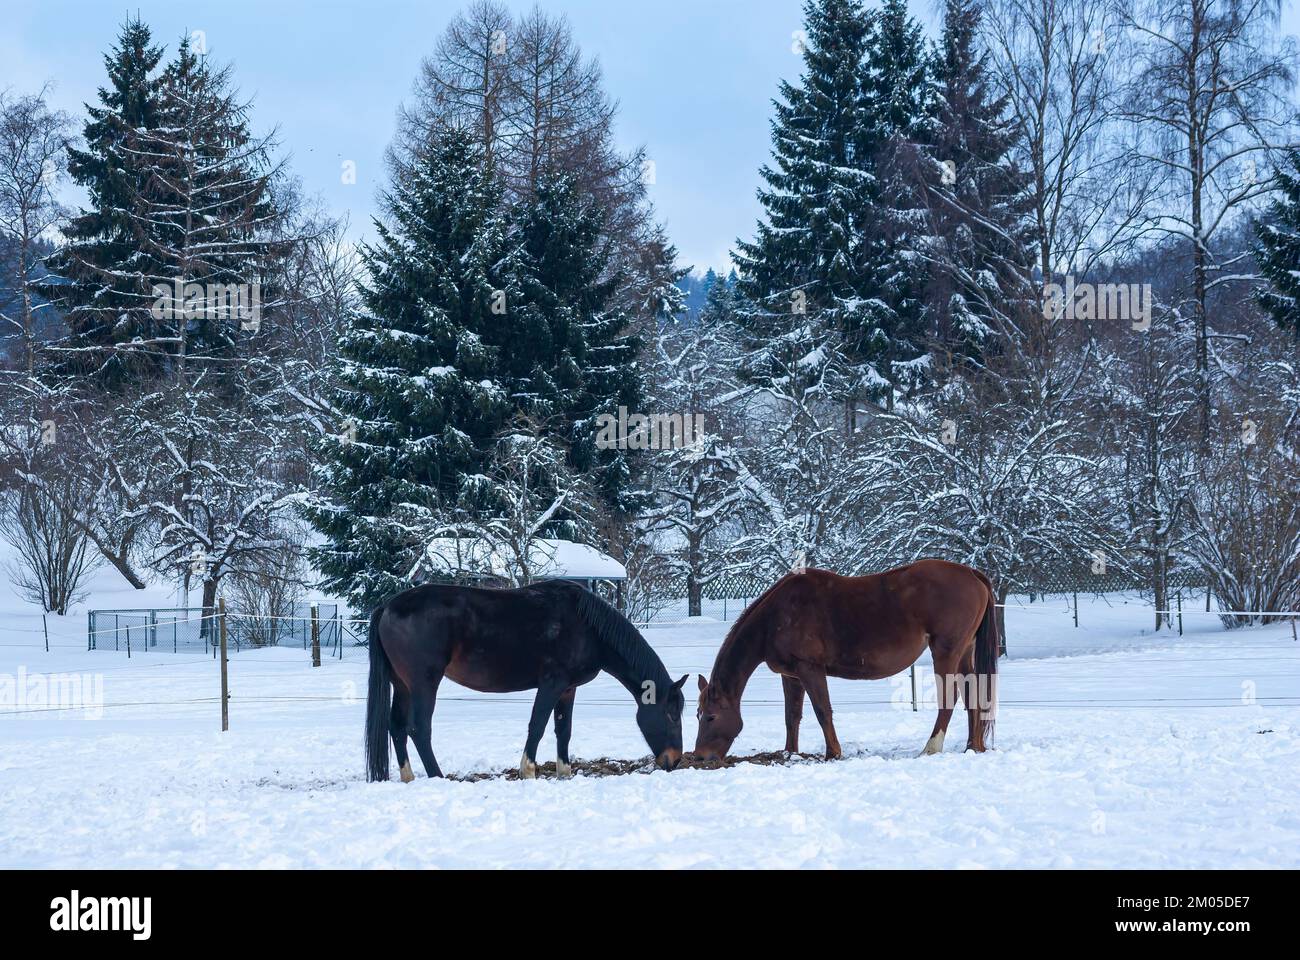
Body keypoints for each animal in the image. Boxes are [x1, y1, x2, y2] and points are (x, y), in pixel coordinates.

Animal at [365, 579, 688, 782]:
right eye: (671, 715)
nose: (675, 760)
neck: (587, 627)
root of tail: (388, 607)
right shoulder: (551, 684)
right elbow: (538, 725)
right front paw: (528, 770)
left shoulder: (568, 690)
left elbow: (563, 730)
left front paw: (564, 773)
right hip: (424, 683)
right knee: (419, 729)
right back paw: (437, 777)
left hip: (402, 685)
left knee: (397, 728)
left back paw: (408, 778)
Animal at [692, 559, 999, 763]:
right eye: (697, 715)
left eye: (710, 716)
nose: (699, 756)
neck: (776, 617)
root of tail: (971, 574)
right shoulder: (791, 676)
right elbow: (792, 716)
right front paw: (790, 753)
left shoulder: (810, 669)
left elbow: (822, 711)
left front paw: (833, 753)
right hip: (964, 653)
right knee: (973, 696)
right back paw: (973, 747)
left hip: (946, 651)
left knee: (949, 698)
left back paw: (931, 748)